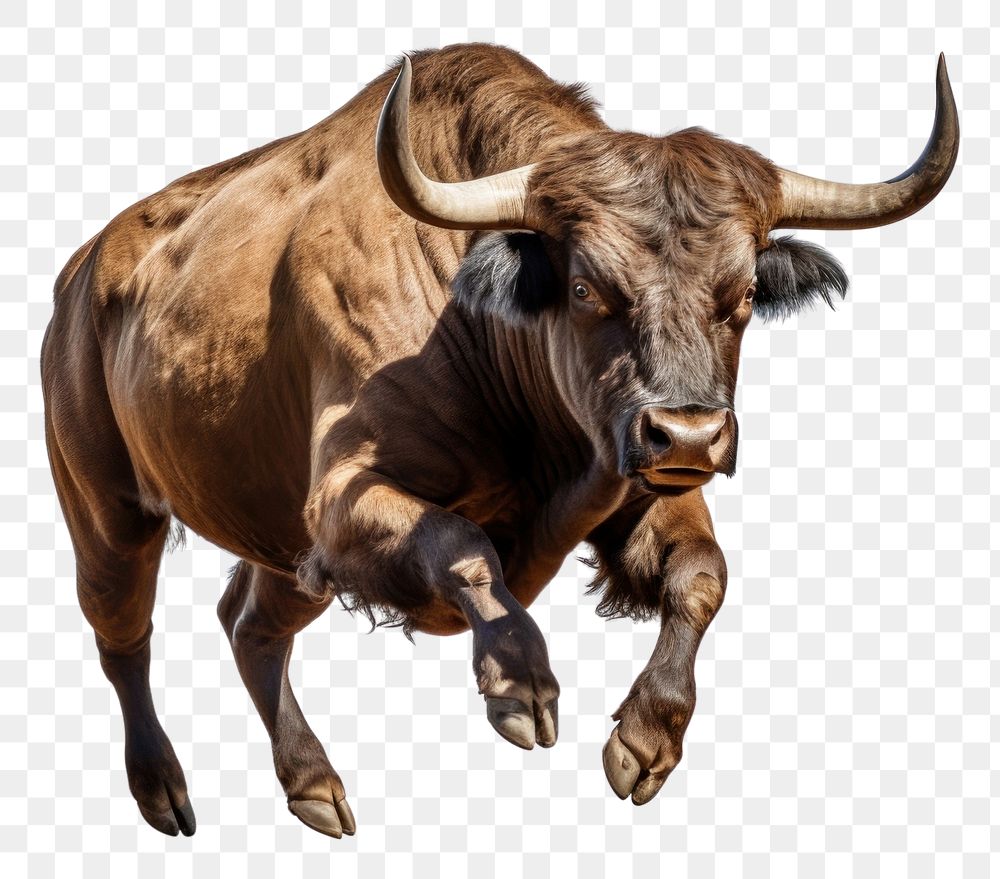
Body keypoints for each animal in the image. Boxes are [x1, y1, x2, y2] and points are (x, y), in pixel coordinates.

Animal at [41, 44, 958, 838]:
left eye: (741, 295)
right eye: (586, 287)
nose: (689, 432)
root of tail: (83, 273)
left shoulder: (627, 485)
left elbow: (702, 575)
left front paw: (644, 742)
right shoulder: (342, 502)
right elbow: (463, 546)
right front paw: (522, 688)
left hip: (278, 548)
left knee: (250, 624)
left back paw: (314, 787)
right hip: (110, 513)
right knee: (124, 635)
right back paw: (164, 792)